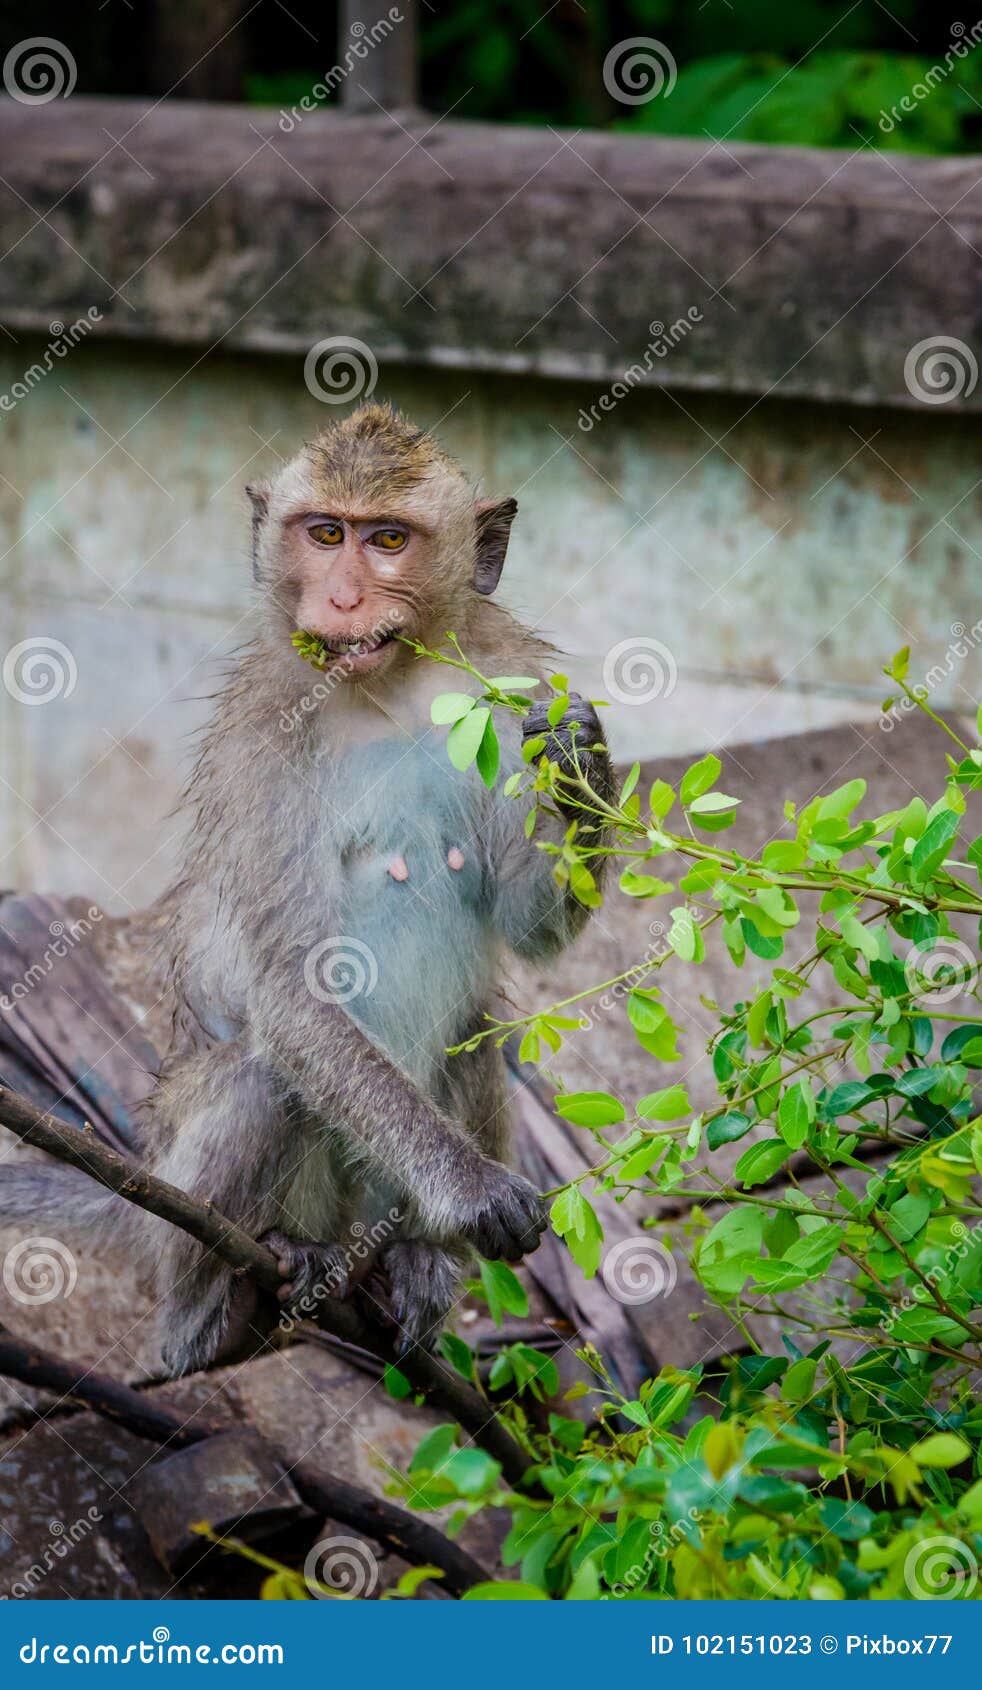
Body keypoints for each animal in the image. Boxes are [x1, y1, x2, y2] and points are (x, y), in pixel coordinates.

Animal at [1, 404, 614, 1376]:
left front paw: (582, 760)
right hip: (189, 1186)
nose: (343, 599)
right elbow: (294, 989)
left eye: (387, 539)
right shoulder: (262, 735)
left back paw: (419, 1261)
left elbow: (528, 926)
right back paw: (218, 1310)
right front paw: (473, 1190)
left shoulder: (508, 673)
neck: (392, 687)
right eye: (326, 534)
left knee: (471, 1028)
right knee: (260, 1077)